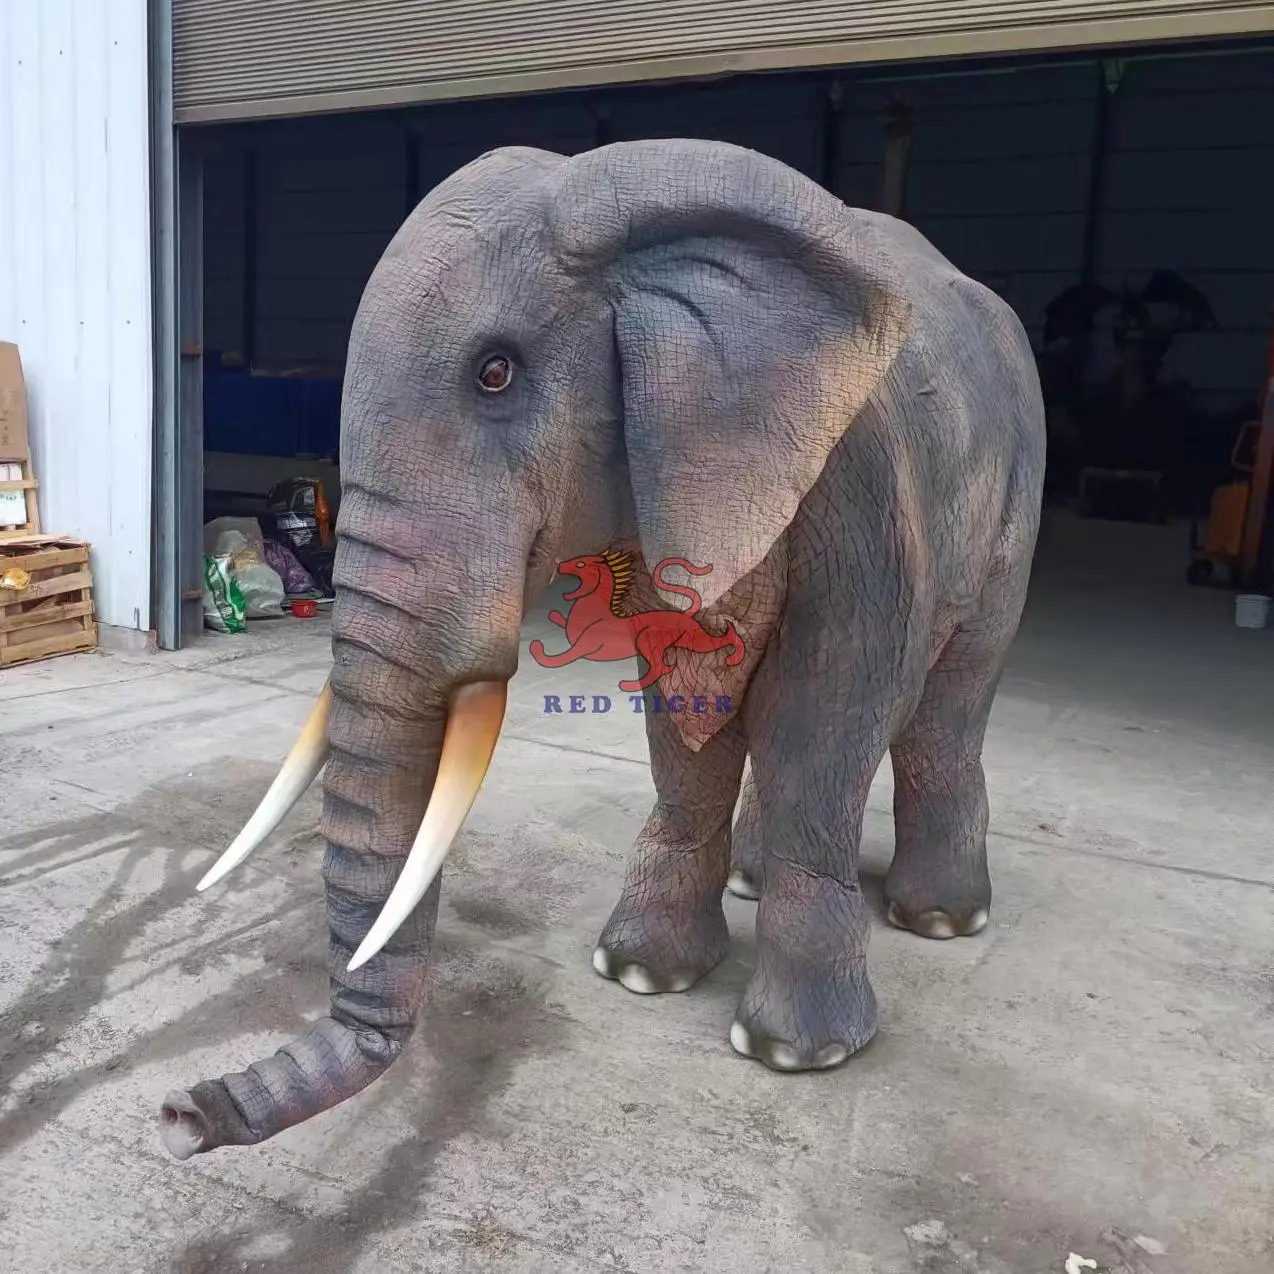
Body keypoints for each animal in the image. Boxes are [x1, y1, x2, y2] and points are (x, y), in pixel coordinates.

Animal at [159, 137, 1046, 1159]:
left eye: (495, 374)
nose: (184, 1116)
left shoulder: (865, 483)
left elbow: (828, 710)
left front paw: (794, 1053)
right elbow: (681, 719)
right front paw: (641, 974)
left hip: (1014, 496)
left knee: (949, 704)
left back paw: (941, 917)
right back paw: (753, 880)